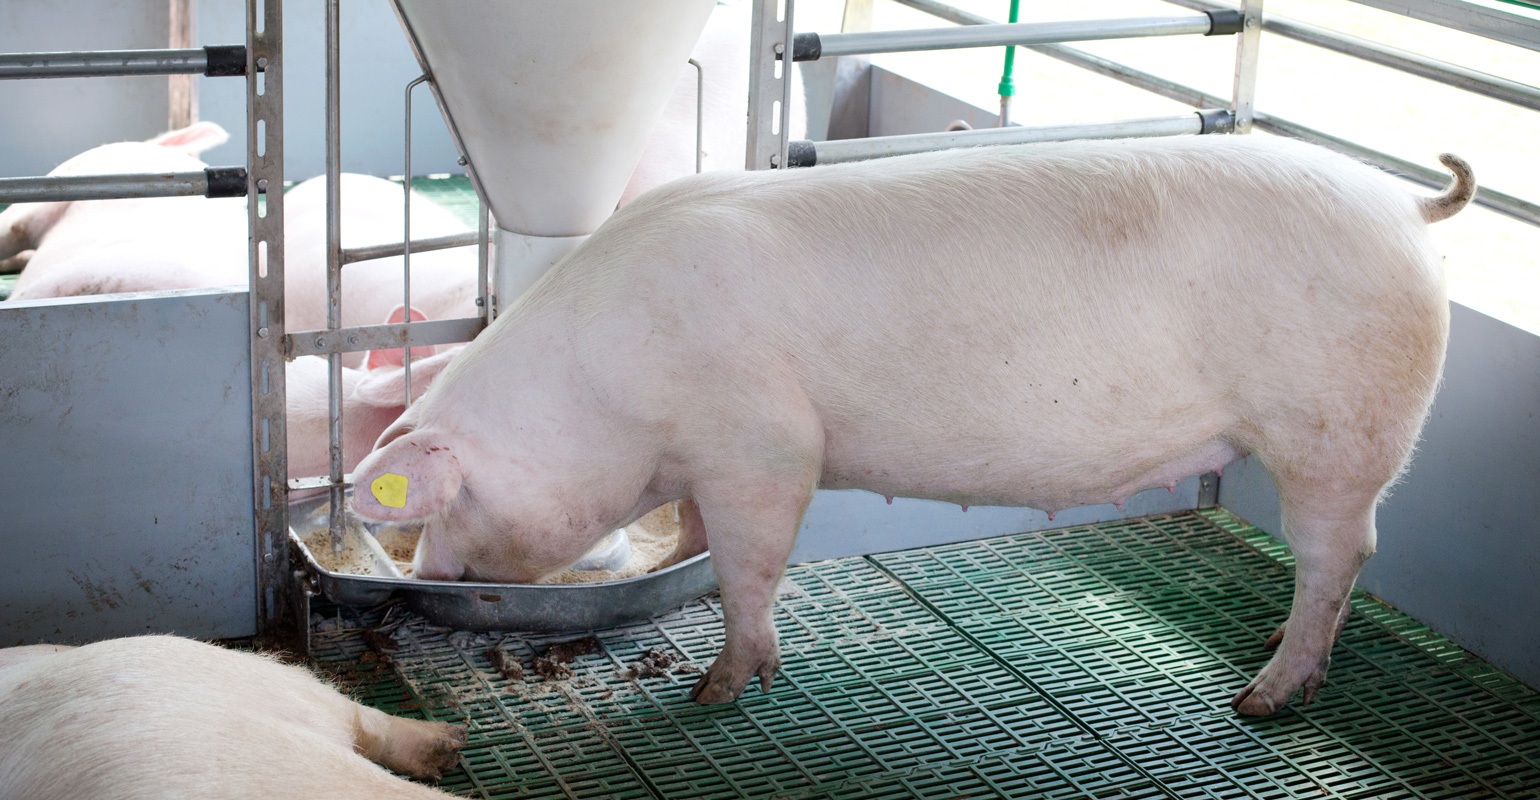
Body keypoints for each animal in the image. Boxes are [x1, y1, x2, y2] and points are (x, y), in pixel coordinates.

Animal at [349, 134, 1474, 717]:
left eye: (448, 501)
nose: (424, 575)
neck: (606, 383)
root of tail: (1406, 209)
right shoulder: (706, 456)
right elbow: (697, 538)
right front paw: (680, 568)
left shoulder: (764, 442)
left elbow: (751, 565)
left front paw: (719, 690)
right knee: (1339, 562)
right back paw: (1276, 643)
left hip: (1338, 430)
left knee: (1342, 549)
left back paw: (1261, 695)